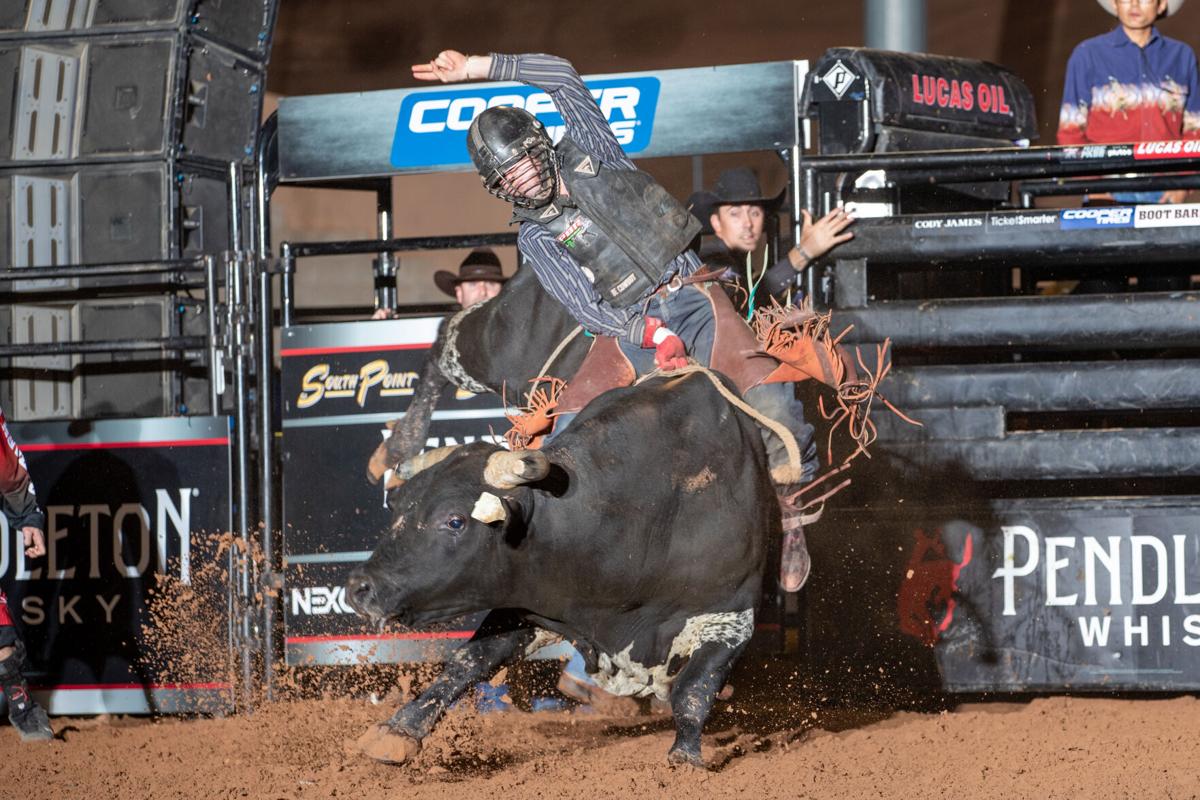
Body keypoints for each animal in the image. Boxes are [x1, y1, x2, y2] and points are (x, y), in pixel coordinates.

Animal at [347, 369, 777, 768]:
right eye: (398, 506)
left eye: (454, 520)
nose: (358, 588)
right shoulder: (533, 603)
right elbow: (468, 661)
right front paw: (398, 730)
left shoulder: (731, 614)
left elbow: (694, 688)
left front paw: (685, 757)